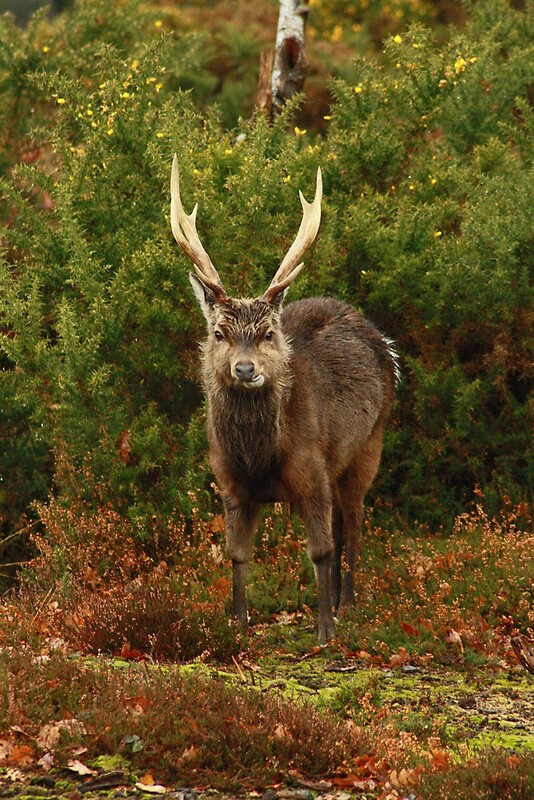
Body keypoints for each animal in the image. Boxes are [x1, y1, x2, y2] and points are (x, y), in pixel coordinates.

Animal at [170, 155, 399, 644]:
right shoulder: (229, 483)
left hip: (369, 445)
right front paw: (238, 623)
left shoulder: (311, 471)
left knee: (354, 524)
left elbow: (320, 550)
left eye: (268, 333)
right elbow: (236, 554)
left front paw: (325, 630)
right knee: (343, 524)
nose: (245, 369)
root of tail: (383, 342)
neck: (260, 457)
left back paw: (347, 601)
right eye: (219, 333)